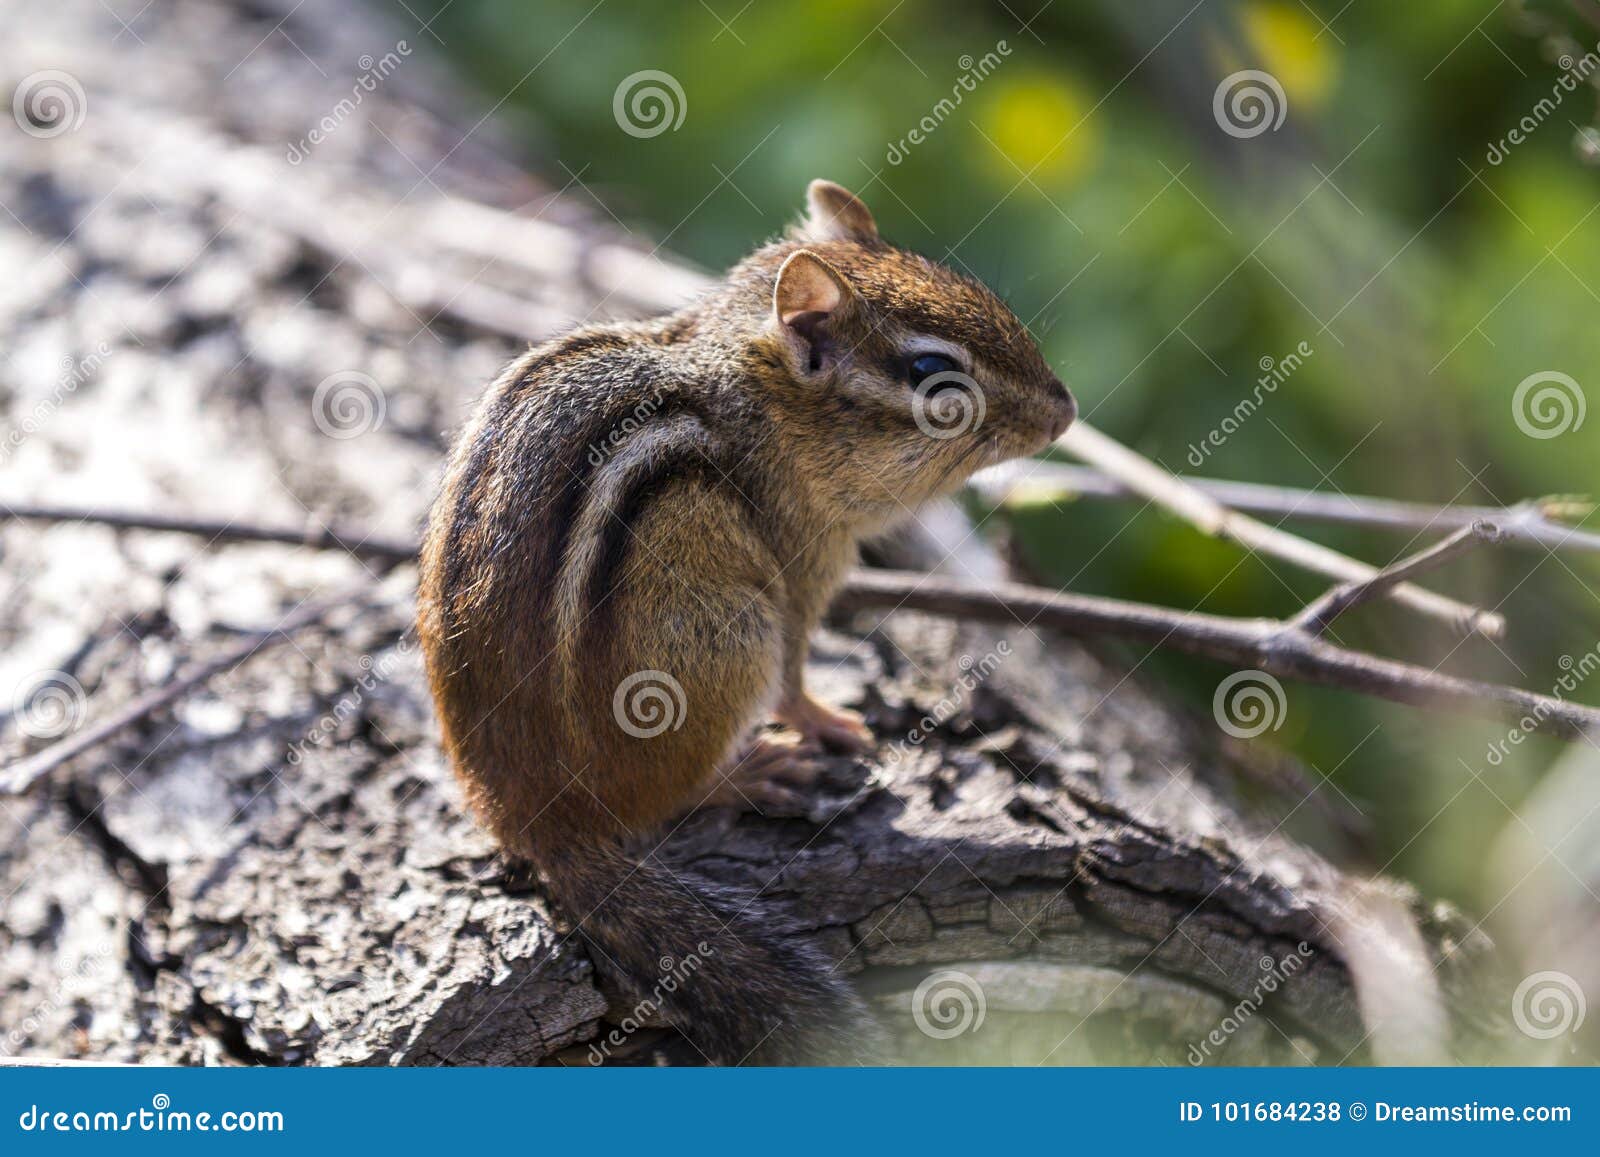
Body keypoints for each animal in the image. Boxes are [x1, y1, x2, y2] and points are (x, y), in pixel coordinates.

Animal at [416, 179, 1075, 1065]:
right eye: (934, 374)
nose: (1065, 410)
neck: (762, 395)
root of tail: (543, 822)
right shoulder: (803, 566)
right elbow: (796, 675)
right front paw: (831, 720)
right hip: (723, 637)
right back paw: (749, 772)